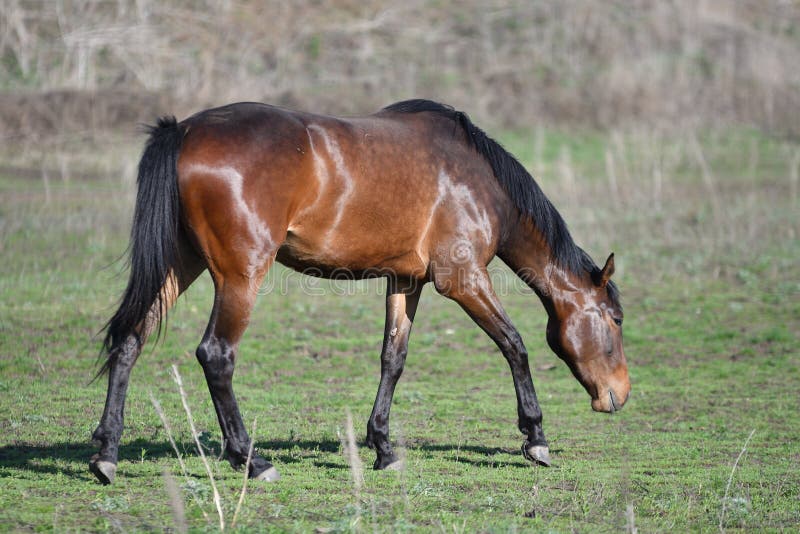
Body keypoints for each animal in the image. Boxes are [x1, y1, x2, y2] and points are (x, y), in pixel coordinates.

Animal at [90, 99, 630, 485]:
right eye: (616, 320)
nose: (619, 395)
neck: (474, 177)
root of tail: (184, 131)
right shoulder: (464, 279)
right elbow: (514, 346)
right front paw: (535, 437)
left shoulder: (406, 281)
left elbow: (393, 359)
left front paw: (384, 447)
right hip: (239, 276)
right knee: (216, 355)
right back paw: (251, 460)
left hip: (180, 265)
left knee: (130, 340)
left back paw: (106, 454)